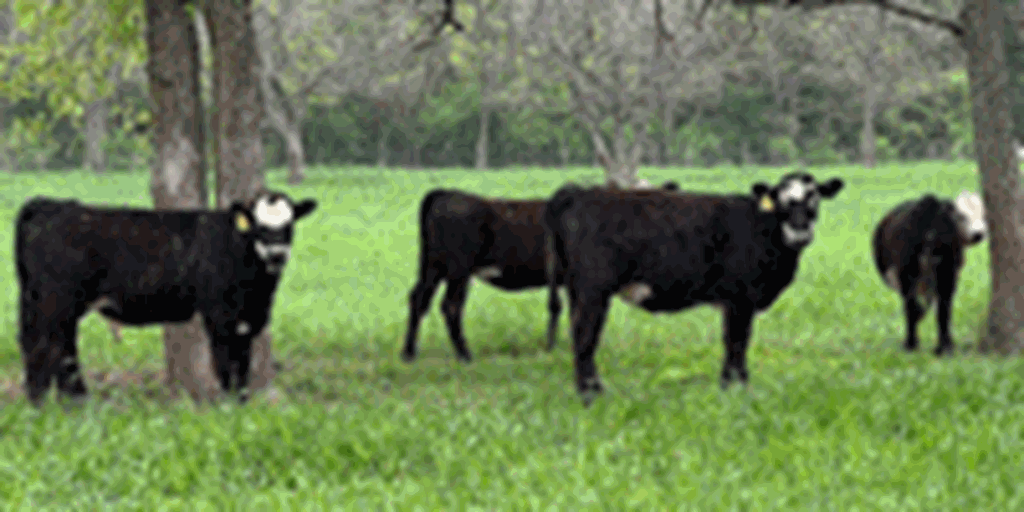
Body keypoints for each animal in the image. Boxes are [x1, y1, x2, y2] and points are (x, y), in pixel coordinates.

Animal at [14, 191, 317, 405]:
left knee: (57, 347)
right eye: (258, 226)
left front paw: (242, 405)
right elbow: (225, 365)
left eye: (289, 225)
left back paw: (70, 401)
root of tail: (50, 204)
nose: (277, 255)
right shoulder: (219, 316)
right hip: (55, 301)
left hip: (49, 304)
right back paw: (44, 403)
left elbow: (242, 366)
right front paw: (229, 407)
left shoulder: (244, 320)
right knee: (45, 346)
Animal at [401, 179, 680, 363]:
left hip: (433, 266)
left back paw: (408, 352)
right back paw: (464, 354)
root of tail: (447, 193)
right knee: (450, 306)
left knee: (419, 300)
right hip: (458, 269)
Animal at [542, 171, 845, 405]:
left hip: (578, 290)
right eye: (782, 201)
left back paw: (591, 389)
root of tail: (579, 192)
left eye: (814, 198)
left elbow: (732, 341)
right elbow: (737, 341)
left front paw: (728, 386)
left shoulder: (733, 302)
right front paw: (738, 387)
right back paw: (589, 395)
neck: (761, 226)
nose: (800, 232)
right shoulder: (741, 299)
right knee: (585, 337)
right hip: (594, 291)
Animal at [871, 191, 987, 356]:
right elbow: (918, 308)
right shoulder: (910, 276)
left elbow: (941, 310)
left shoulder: (946, 277)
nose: (978, 234)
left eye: (984, 215)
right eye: (961, 215)